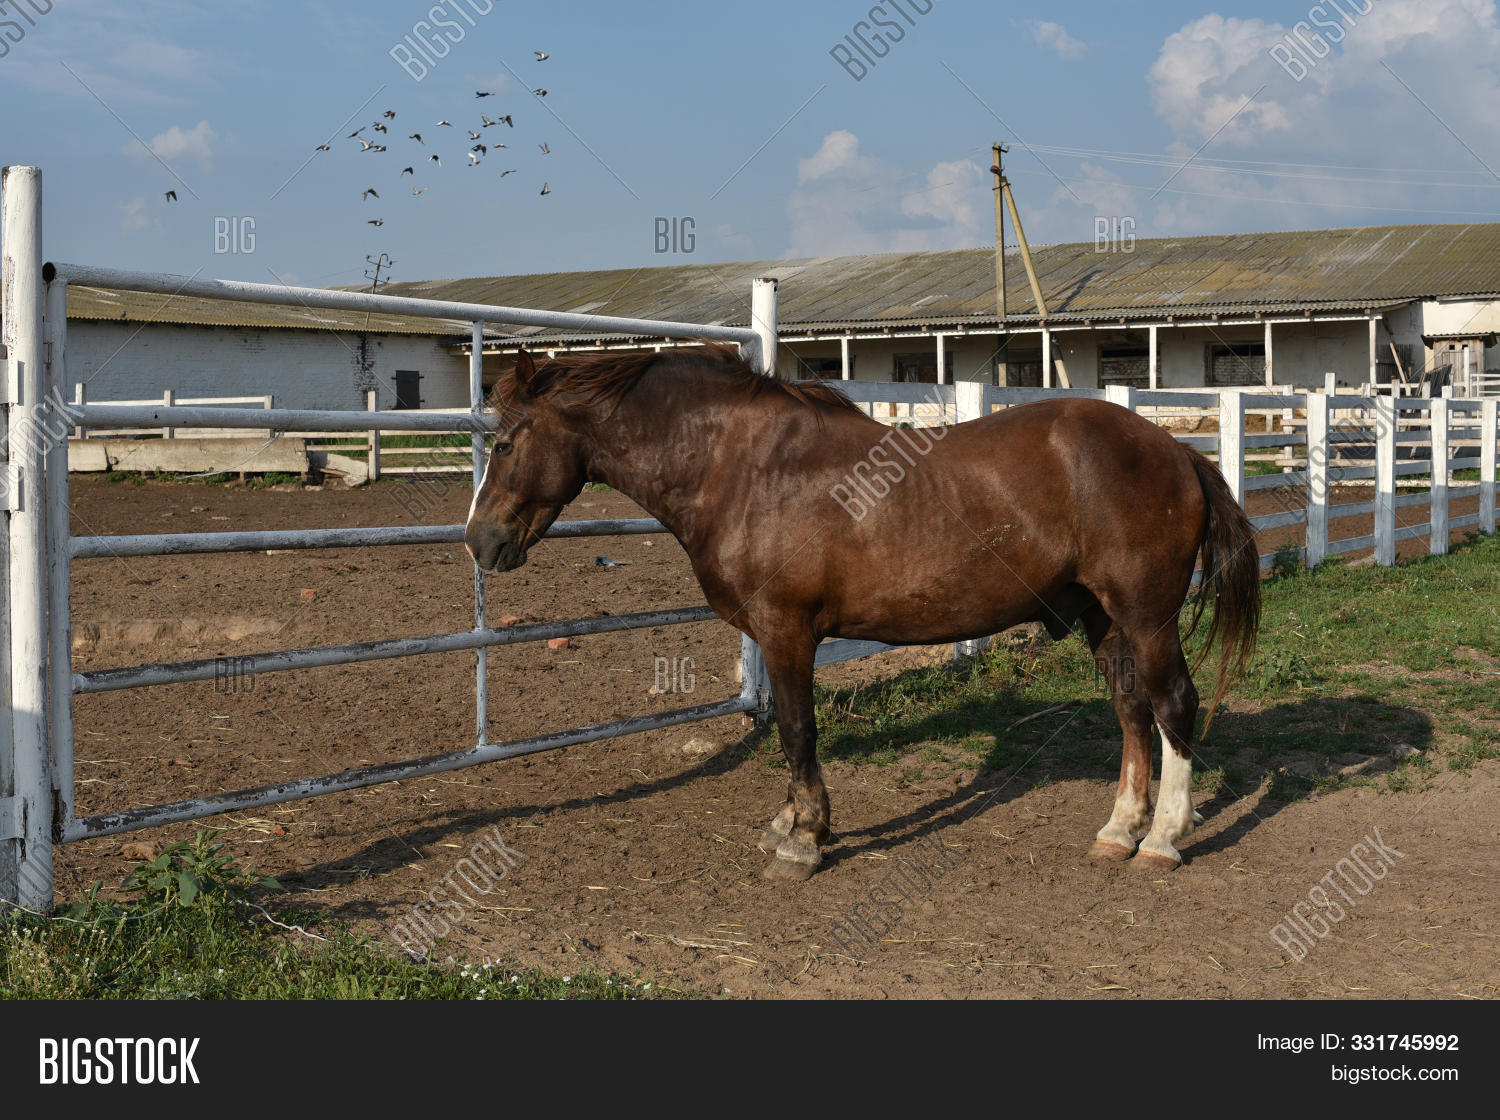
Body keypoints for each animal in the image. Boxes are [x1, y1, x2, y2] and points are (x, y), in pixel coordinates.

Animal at [465, 345, 1261, 881]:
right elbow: (793, 736)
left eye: (503, 442)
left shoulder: (787, 632)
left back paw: (1162, 839)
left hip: (1146, 616)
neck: (741, 467)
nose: (480, 540)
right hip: (1104, 617)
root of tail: (1178, 452)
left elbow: (796, 729)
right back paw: (1119, 829)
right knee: (1131, 709)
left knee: (1173, 705)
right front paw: (792, 821)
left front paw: (805, 837)